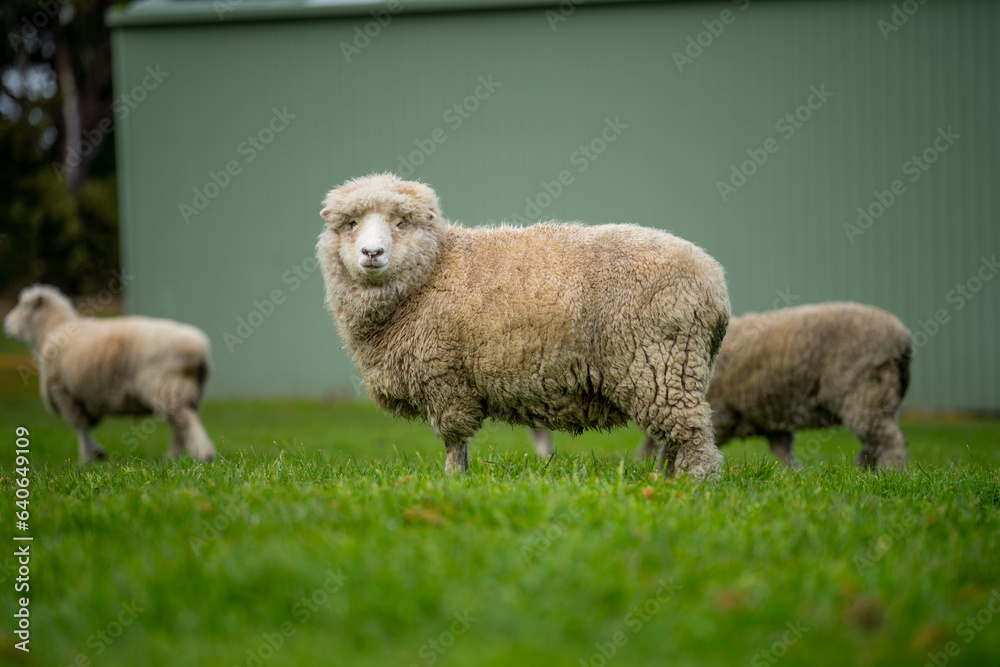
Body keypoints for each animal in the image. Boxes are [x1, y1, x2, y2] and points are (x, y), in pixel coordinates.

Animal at [3, 285, 216, 463]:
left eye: (23, 306)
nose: (5, 325)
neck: (52, 330)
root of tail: (199, 349)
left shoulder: (64, 392)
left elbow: (80, 427)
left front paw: (86, 458)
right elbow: (84, 427)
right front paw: (95, 455)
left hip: (166, 386)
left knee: (185, 423)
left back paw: (202, 455)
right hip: (182, 390)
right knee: (180, 427)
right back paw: (174, 457)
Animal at [316, 173, 731, 479]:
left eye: (401, 223)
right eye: (351, 223)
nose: (372, 253)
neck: (436, 267)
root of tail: (714, 281)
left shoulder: (446, 378)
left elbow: (453, 439)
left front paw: (452, 480)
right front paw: (460, 479)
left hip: (660, 362)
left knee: (692, 435)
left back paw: (695, 485)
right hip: (678, 368)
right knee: (675, 437)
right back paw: (666, 479)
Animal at [542, 302, 908, 470]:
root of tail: (902, 340)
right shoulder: (768, 420)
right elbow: (783, 450)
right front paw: (794, 475)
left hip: (863, 394)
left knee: (888, 438)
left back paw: (890, 472)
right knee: (876, 439)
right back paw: (868, 468)